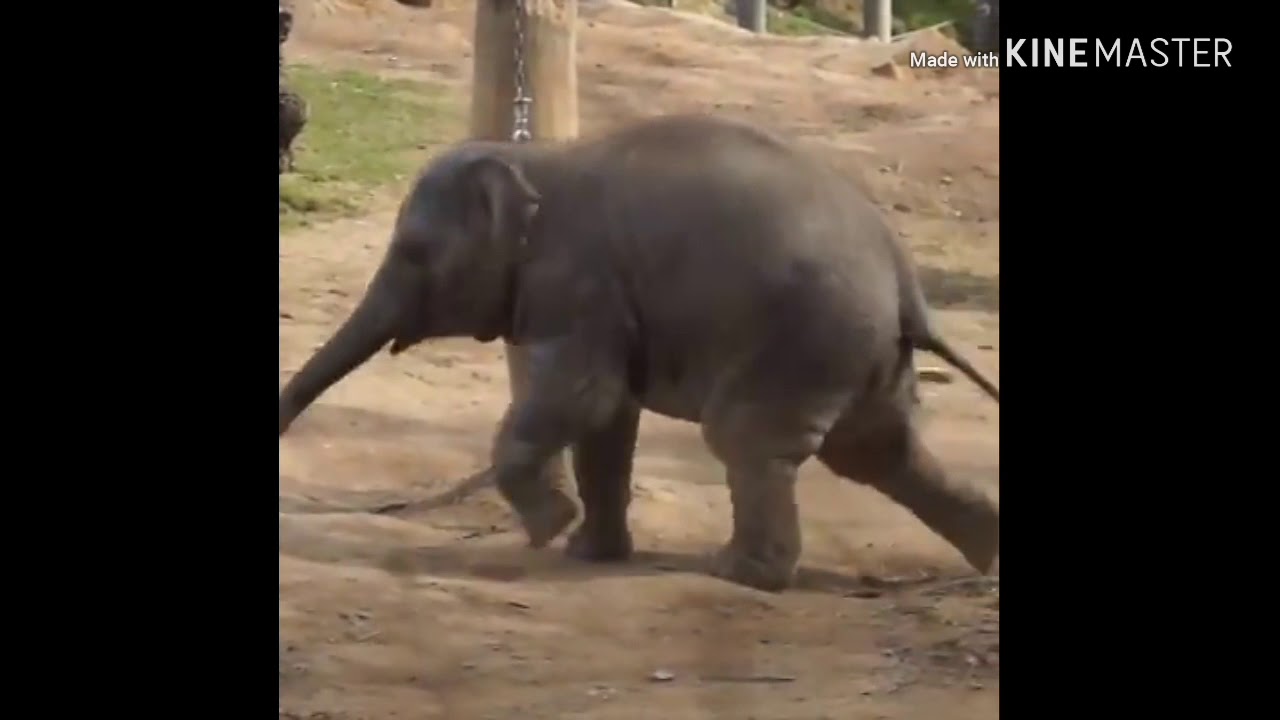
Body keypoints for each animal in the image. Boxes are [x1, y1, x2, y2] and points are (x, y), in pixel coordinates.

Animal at [278, 114, 1000, 592]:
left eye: (413, 251)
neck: (534, 158)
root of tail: (906, 283)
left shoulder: (578, 280)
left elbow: (584, 398)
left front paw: (549, 529)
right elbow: (605, 421)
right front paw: (584, 550)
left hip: (805, 341)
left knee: (750, 441)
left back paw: (737, 574)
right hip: (860, 353)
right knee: (881, 454)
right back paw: (988, 560)